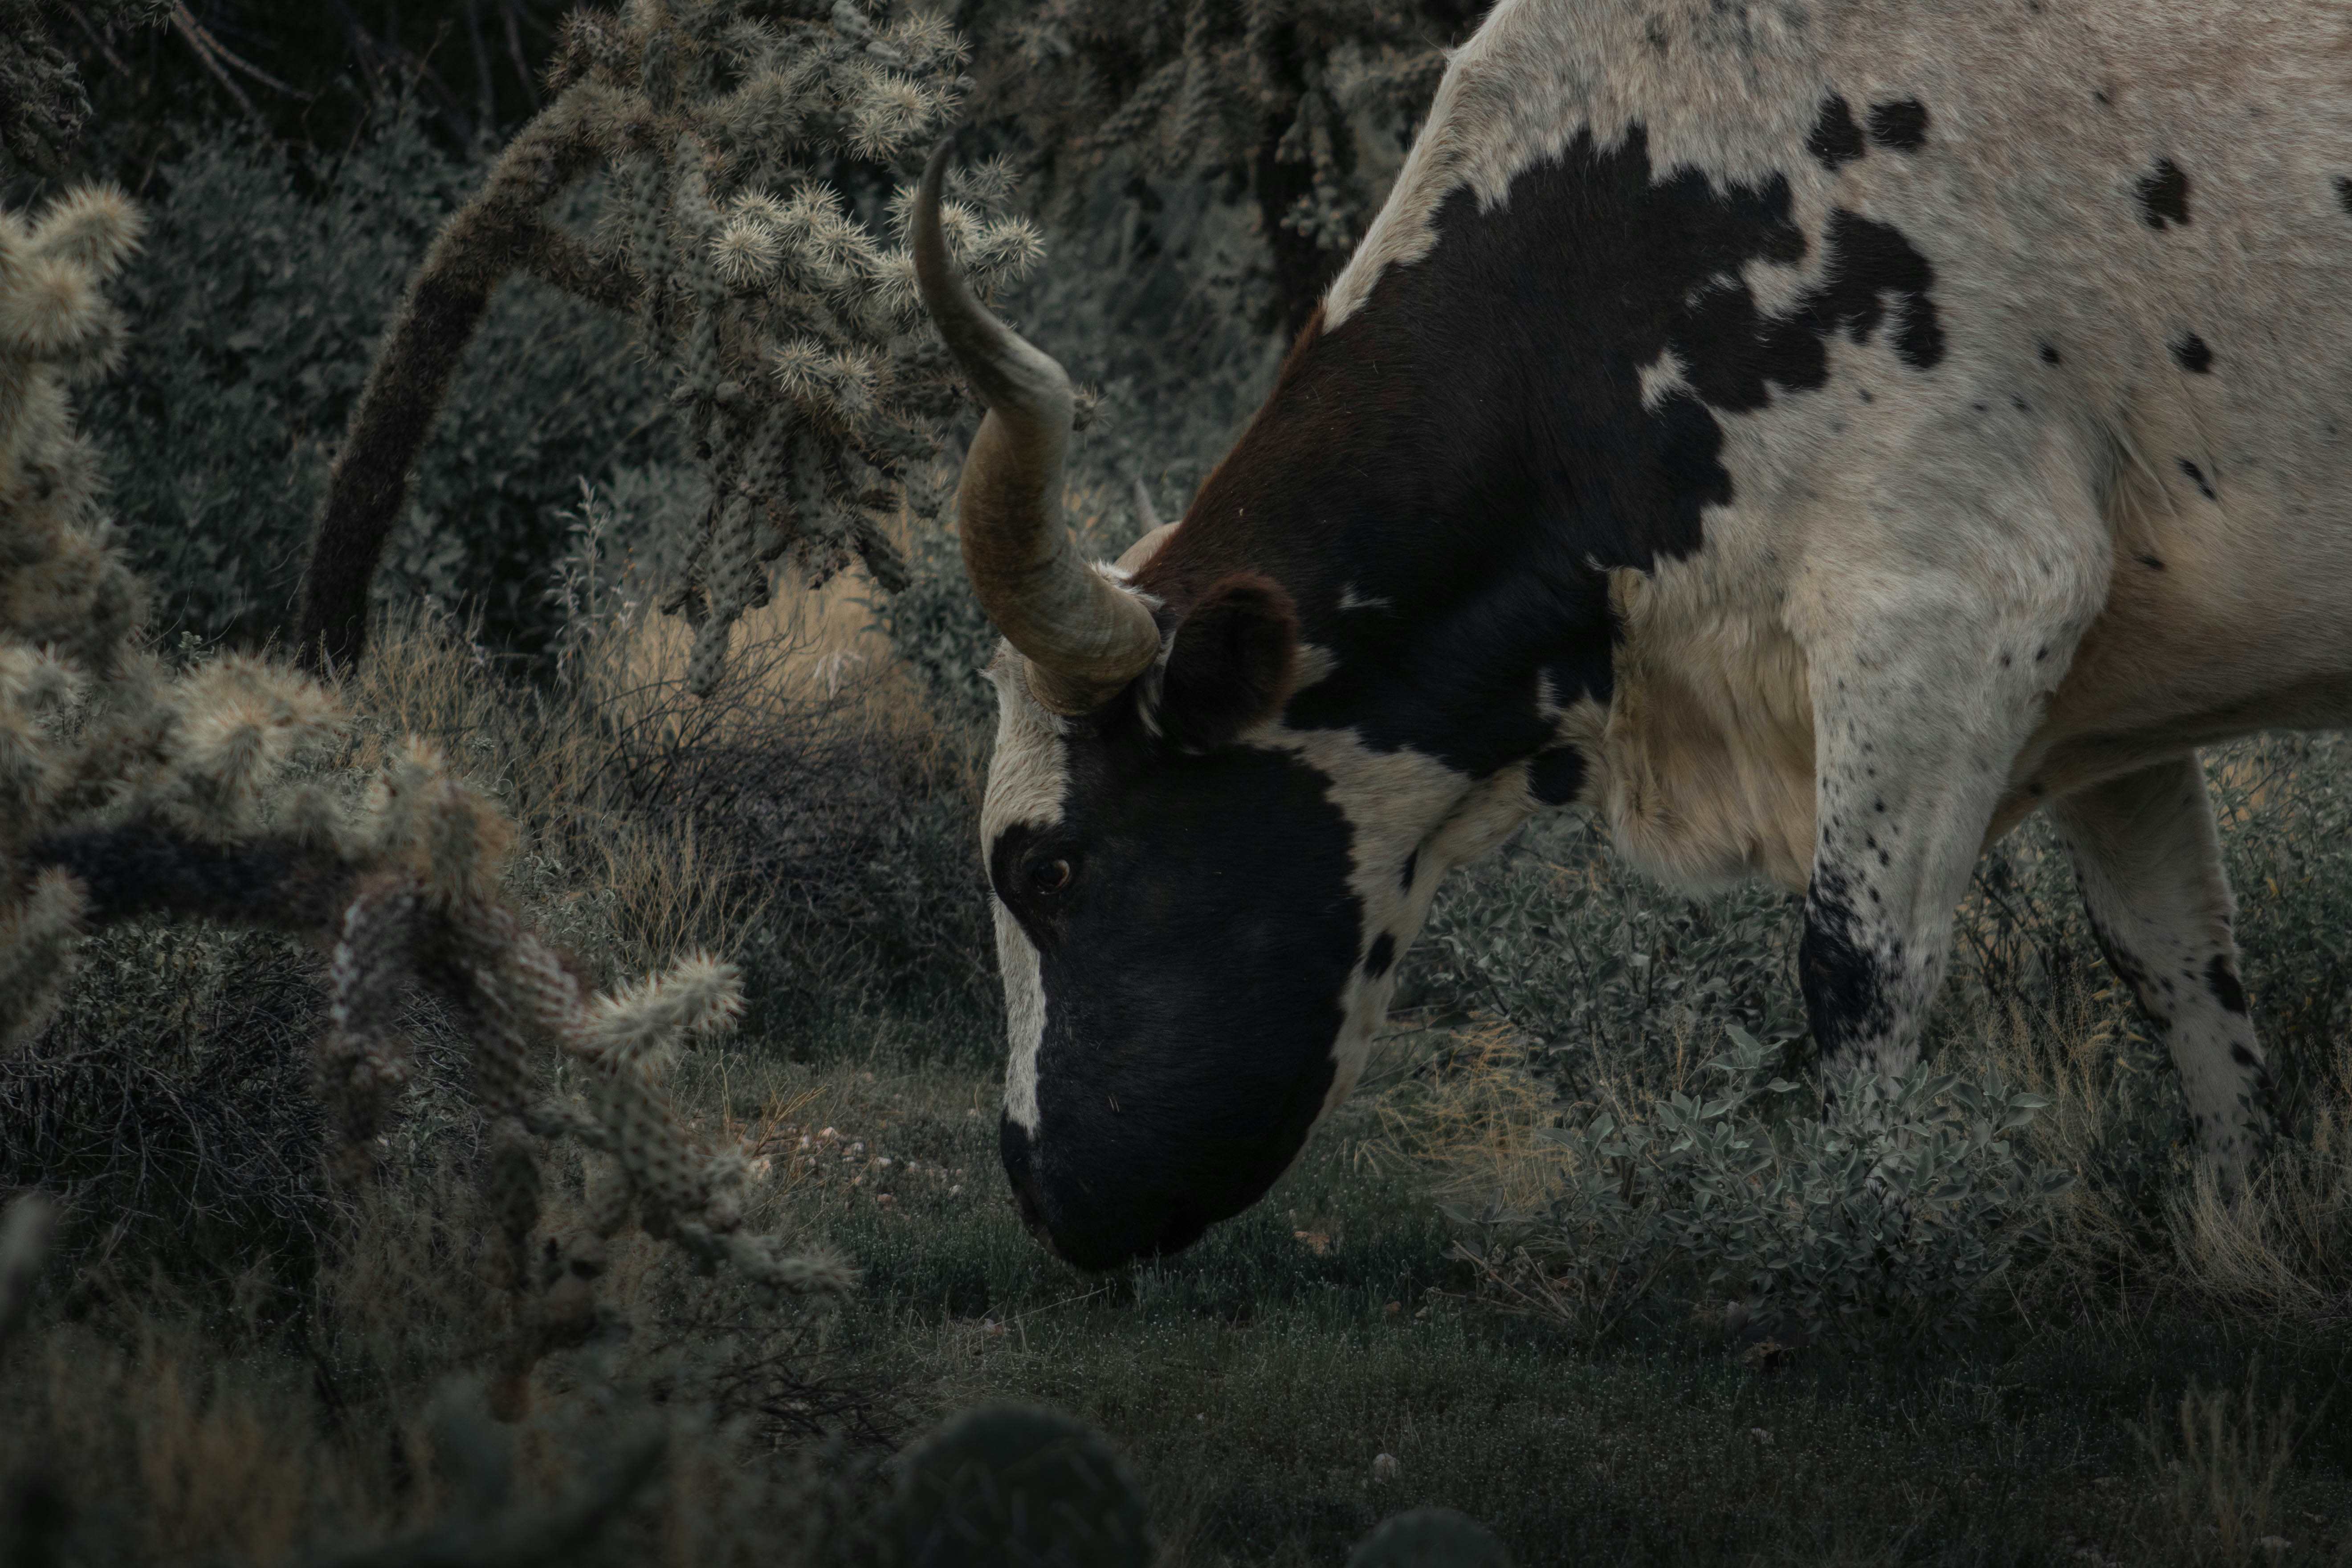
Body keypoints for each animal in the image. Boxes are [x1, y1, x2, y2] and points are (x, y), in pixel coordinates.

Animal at [911, 0, 2352, 1270]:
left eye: (1046, 870)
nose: (1044, 1197)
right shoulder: (2113, 708)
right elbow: (2176, 964)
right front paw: (2238, 1236)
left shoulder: (1944, 608)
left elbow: (1857, 971)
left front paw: (1866, 1245)